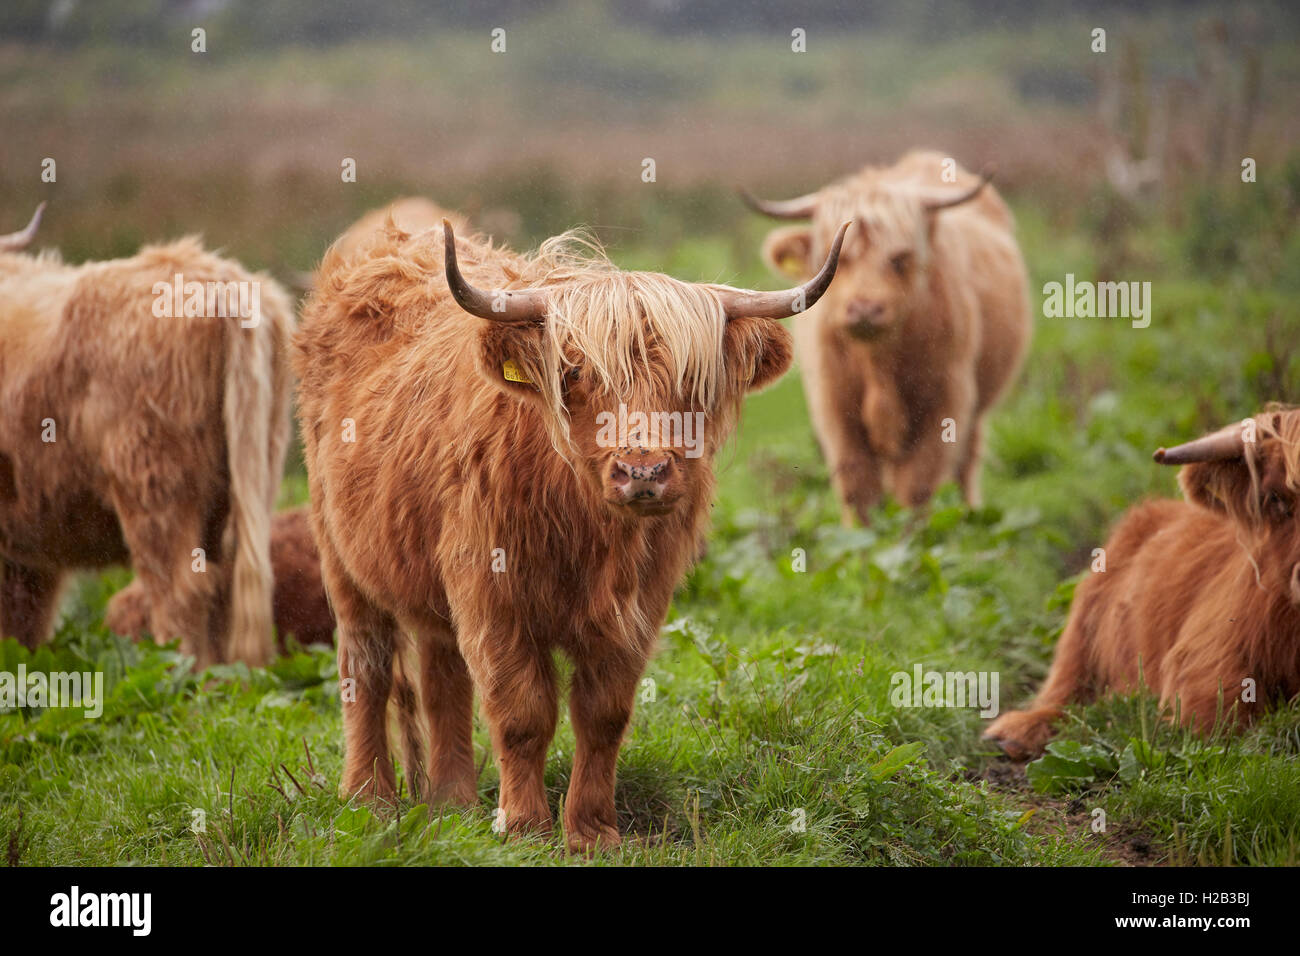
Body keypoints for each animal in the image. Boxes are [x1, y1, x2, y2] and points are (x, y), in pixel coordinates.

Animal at [295, 204, 848, 851]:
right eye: (577, 372)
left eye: (692, 381)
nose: (643, 470)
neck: (588, 533)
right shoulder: (492, 593)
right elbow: (523, 712)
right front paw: (524, 825)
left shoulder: (639, 606)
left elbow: (603, 714)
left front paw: (591, 830)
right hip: (341, 556)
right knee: (366, 666)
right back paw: (369, 800)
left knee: (441, 675)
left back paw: (451, 804)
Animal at [743, 150, 1031, 524]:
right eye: (837, 259)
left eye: (900, 259)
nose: (865, 309)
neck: (877, 364)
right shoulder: (835, 409)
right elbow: (858, 490)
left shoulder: (947, 404)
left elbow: (918, 489)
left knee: (965, 467)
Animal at [985, 407, 1300, 760]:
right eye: (1275, 497)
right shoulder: (1203, 664)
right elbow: (1222, 719)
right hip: (1084, 625)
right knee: (1067, 691)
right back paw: (1014, 733)